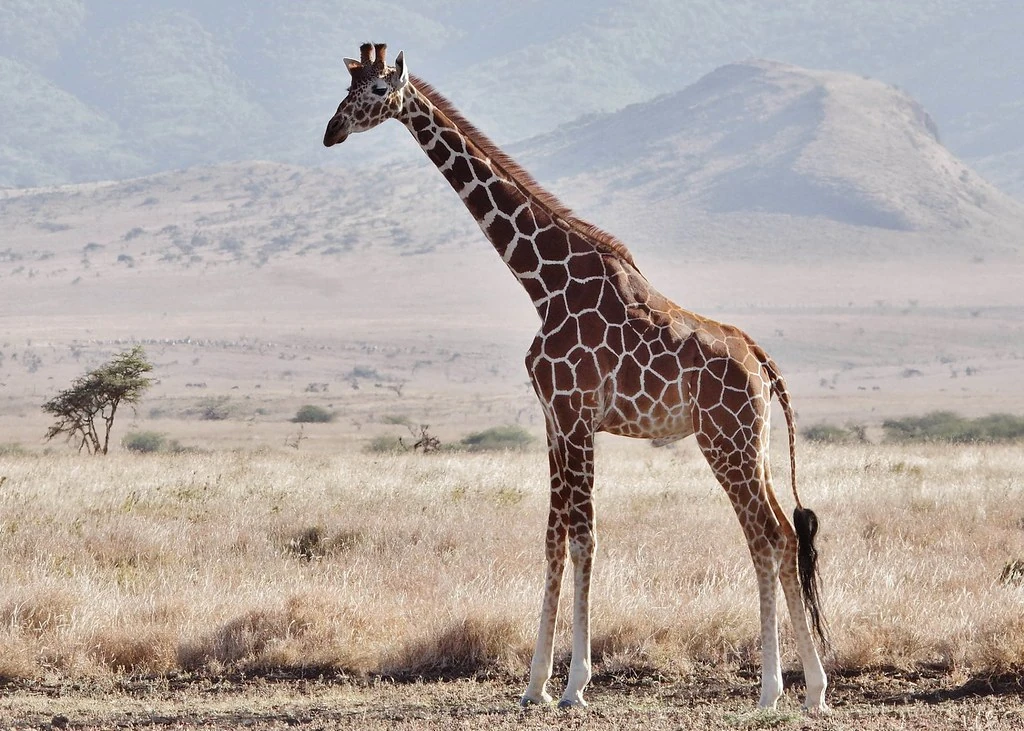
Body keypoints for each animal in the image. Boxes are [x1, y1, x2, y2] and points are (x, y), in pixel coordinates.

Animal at [323, 43, 829, 712]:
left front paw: (575, 685)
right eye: (345, 87)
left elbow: (584, 536)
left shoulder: (575, 414)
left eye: (377, 89)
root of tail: (762, 363)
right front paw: (535, 684)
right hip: (754, 442)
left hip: (725, 441)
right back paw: (812, 691)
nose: (330, 131)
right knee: (787, 535)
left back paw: (773, 690)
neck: (543, 283)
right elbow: (553, 537)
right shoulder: (554, 420)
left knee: (766, 536)